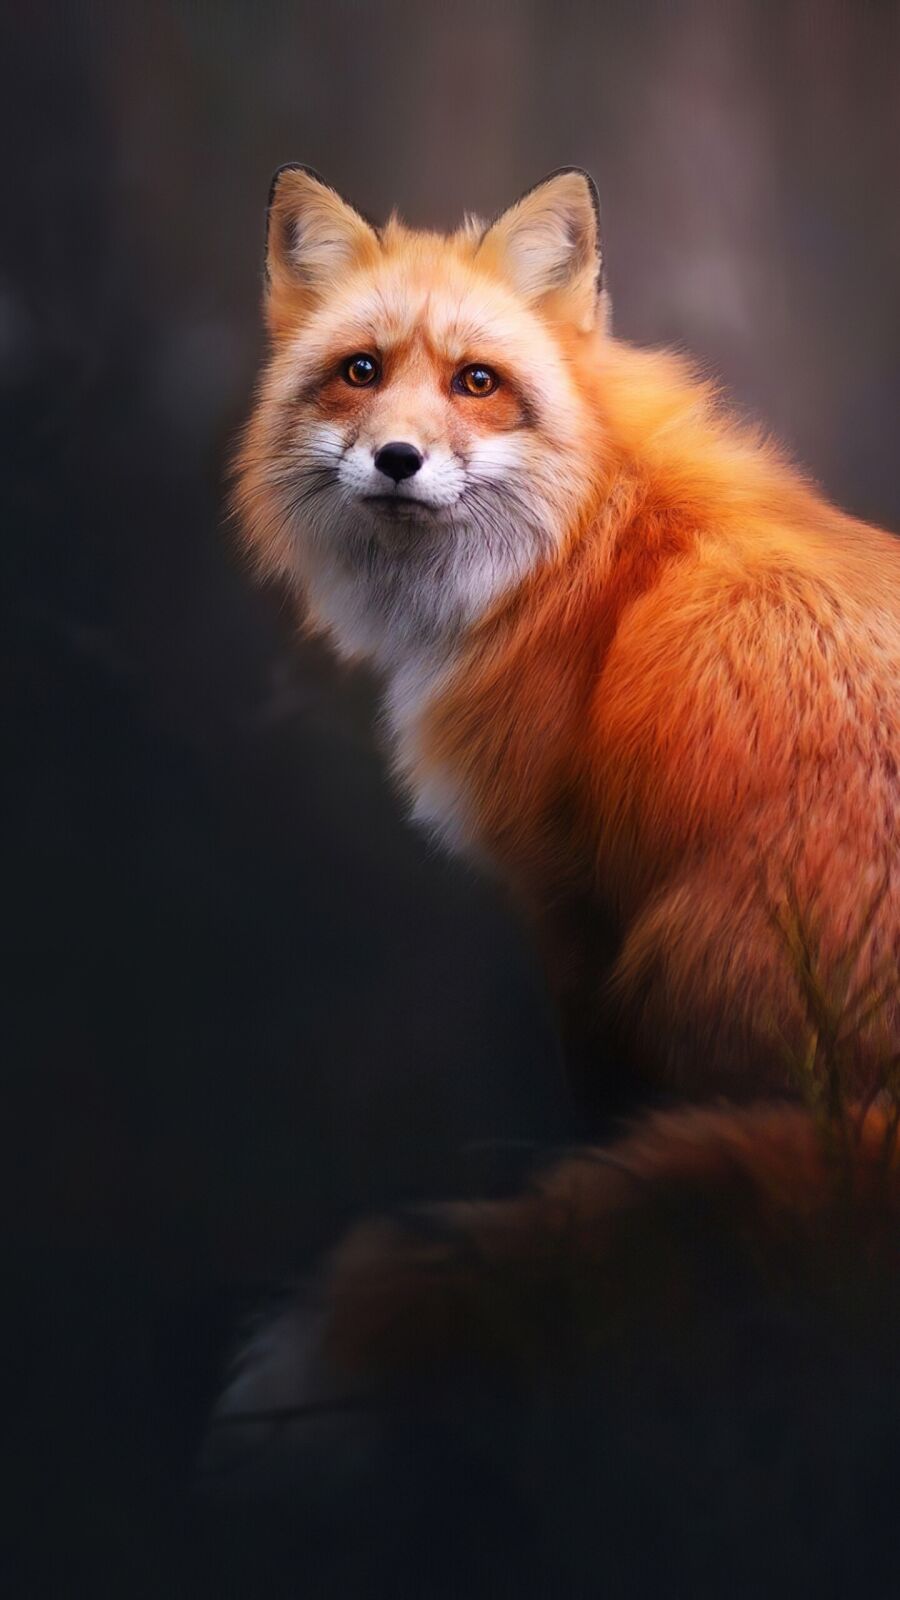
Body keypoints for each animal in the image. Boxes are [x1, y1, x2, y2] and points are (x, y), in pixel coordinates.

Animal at [217, 167, 900, 1419]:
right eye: (361, 371)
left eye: (478, 383)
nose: (397, 458)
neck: (588, 534)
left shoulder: (569, 894)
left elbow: (593, 1119)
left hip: (678, 962)